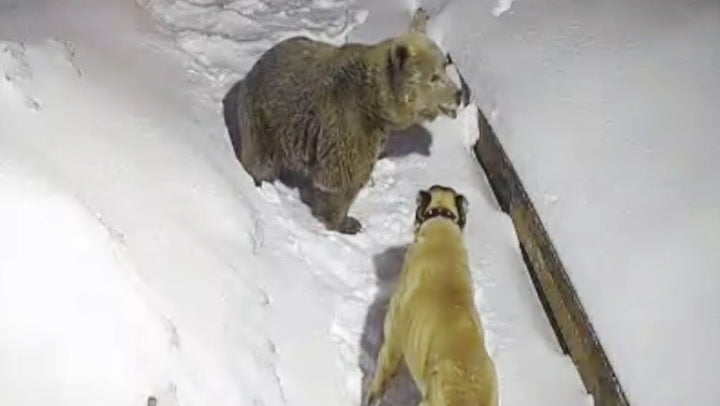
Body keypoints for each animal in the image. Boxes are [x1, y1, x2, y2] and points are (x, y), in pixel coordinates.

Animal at [227, 8, 463, 234]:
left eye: (444, 66)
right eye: (433, 77)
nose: (459, 94)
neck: (376, 104)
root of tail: (257, 62)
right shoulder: (348, 121)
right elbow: (343, 176)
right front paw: (346, 222)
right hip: (267, 118)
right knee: (261, 160)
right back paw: (261, 183)